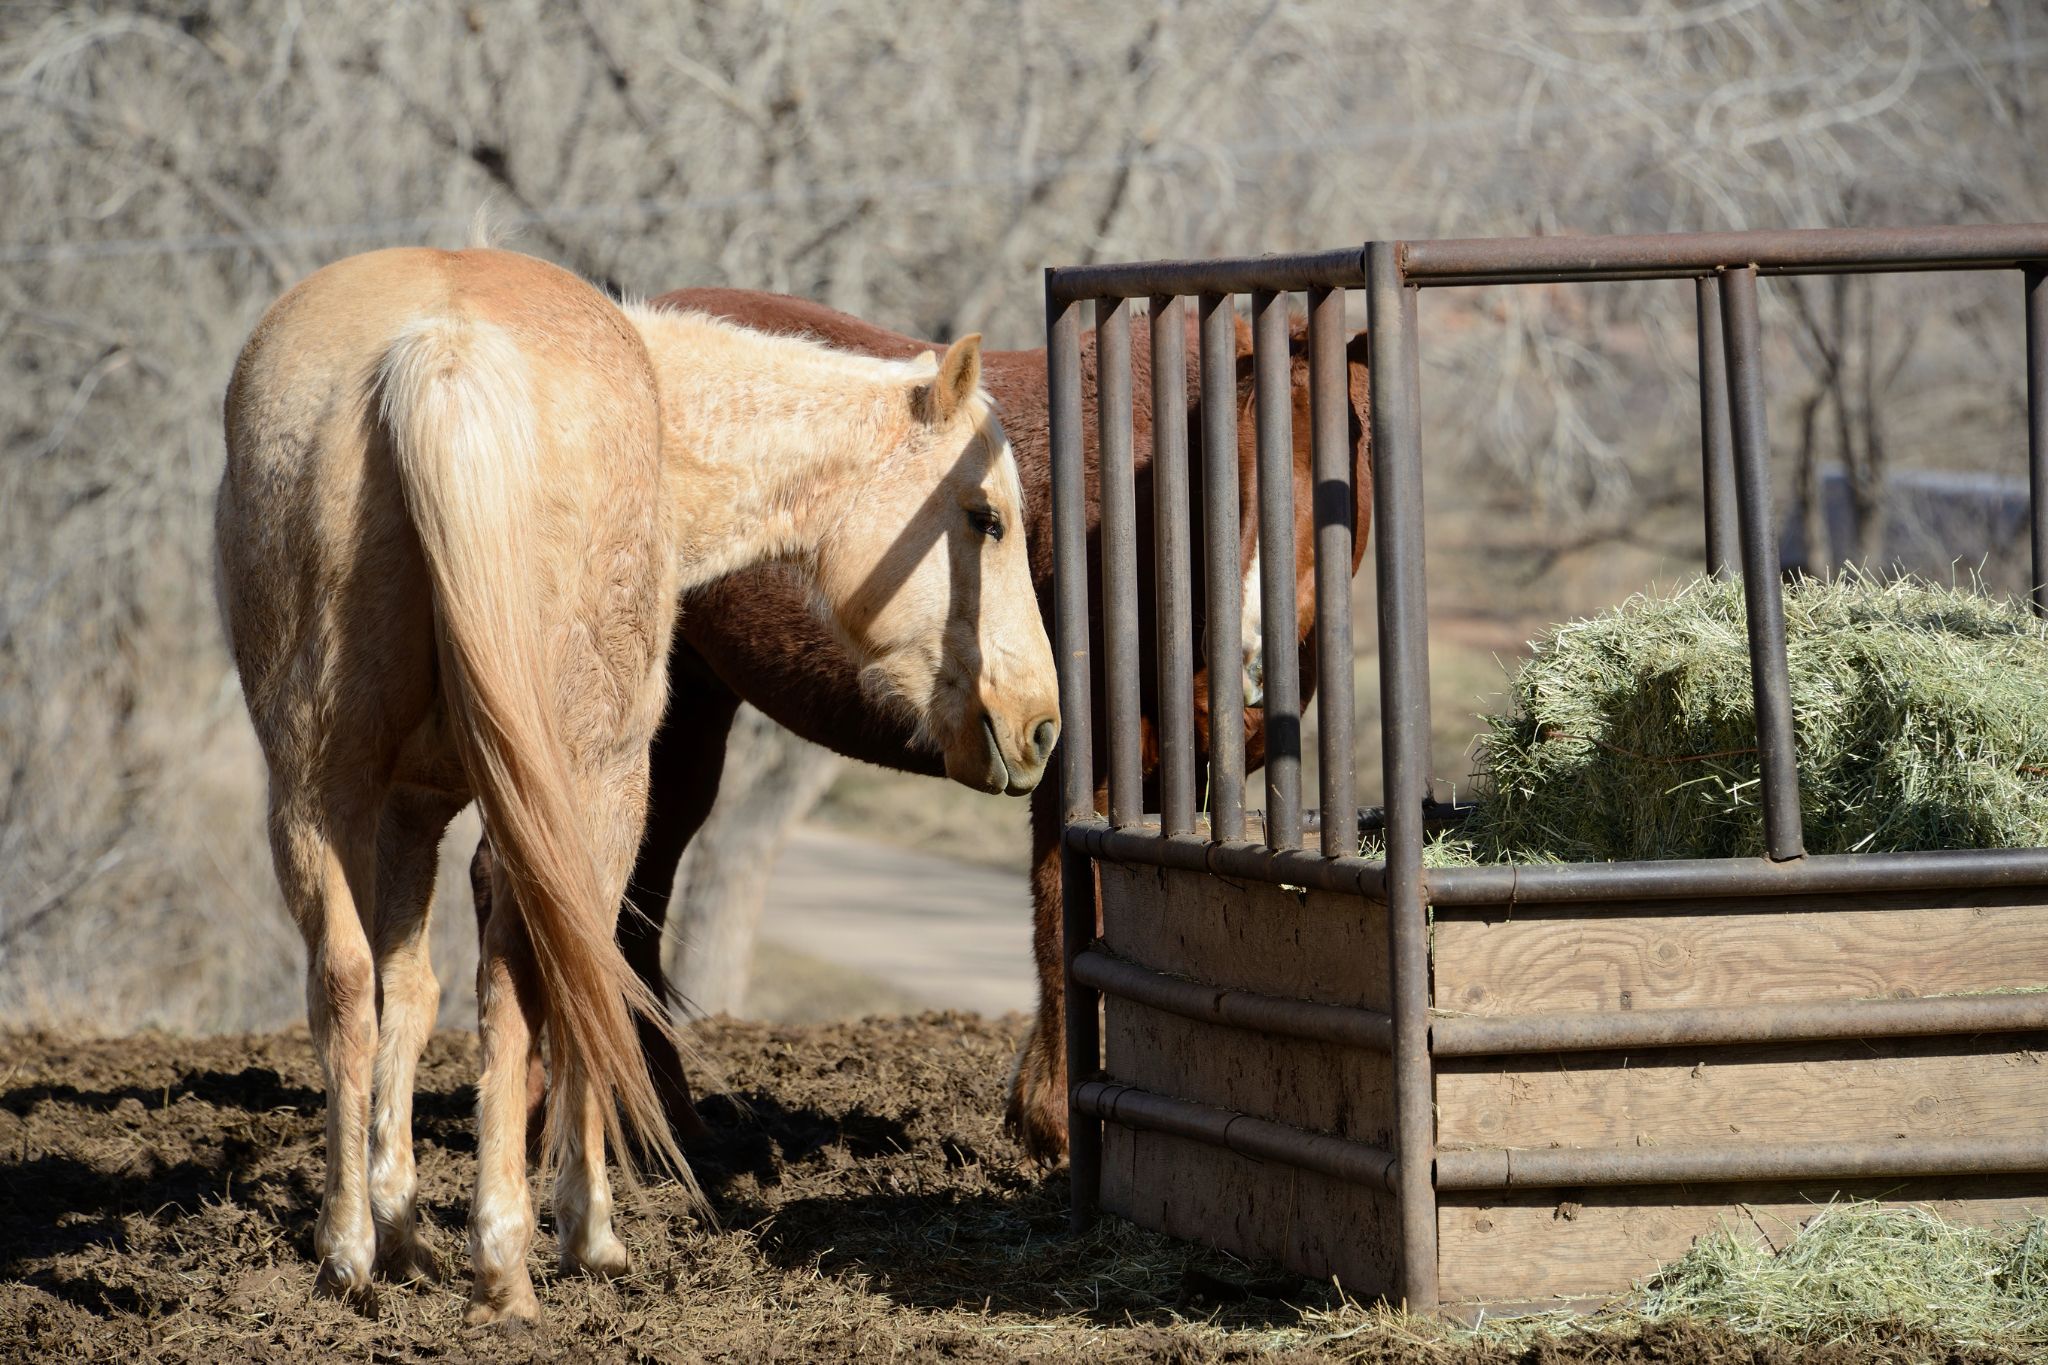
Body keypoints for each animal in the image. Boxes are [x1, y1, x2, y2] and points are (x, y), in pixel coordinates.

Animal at [215, 246, 1057, 1323]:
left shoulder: (410, 808)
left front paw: (402, 1228)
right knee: (524, 974)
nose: (1039, 723)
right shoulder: (602, 795)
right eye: (985, 519)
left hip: (314, 790)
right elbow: (586, 975)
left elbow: (406, 990)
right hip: (577, 786)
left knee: (348, 979)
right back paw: (507, 1262)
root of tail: (440, 350)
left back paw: (349, 1253)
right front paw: (588, 1231)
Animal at [472, 286, 1373, 1164]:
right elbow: (1065, 917)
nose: (1254, 646)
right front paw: (1054, 1126)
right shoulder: (1073, 768)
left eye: (1347, 455)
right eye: (1225, 466)